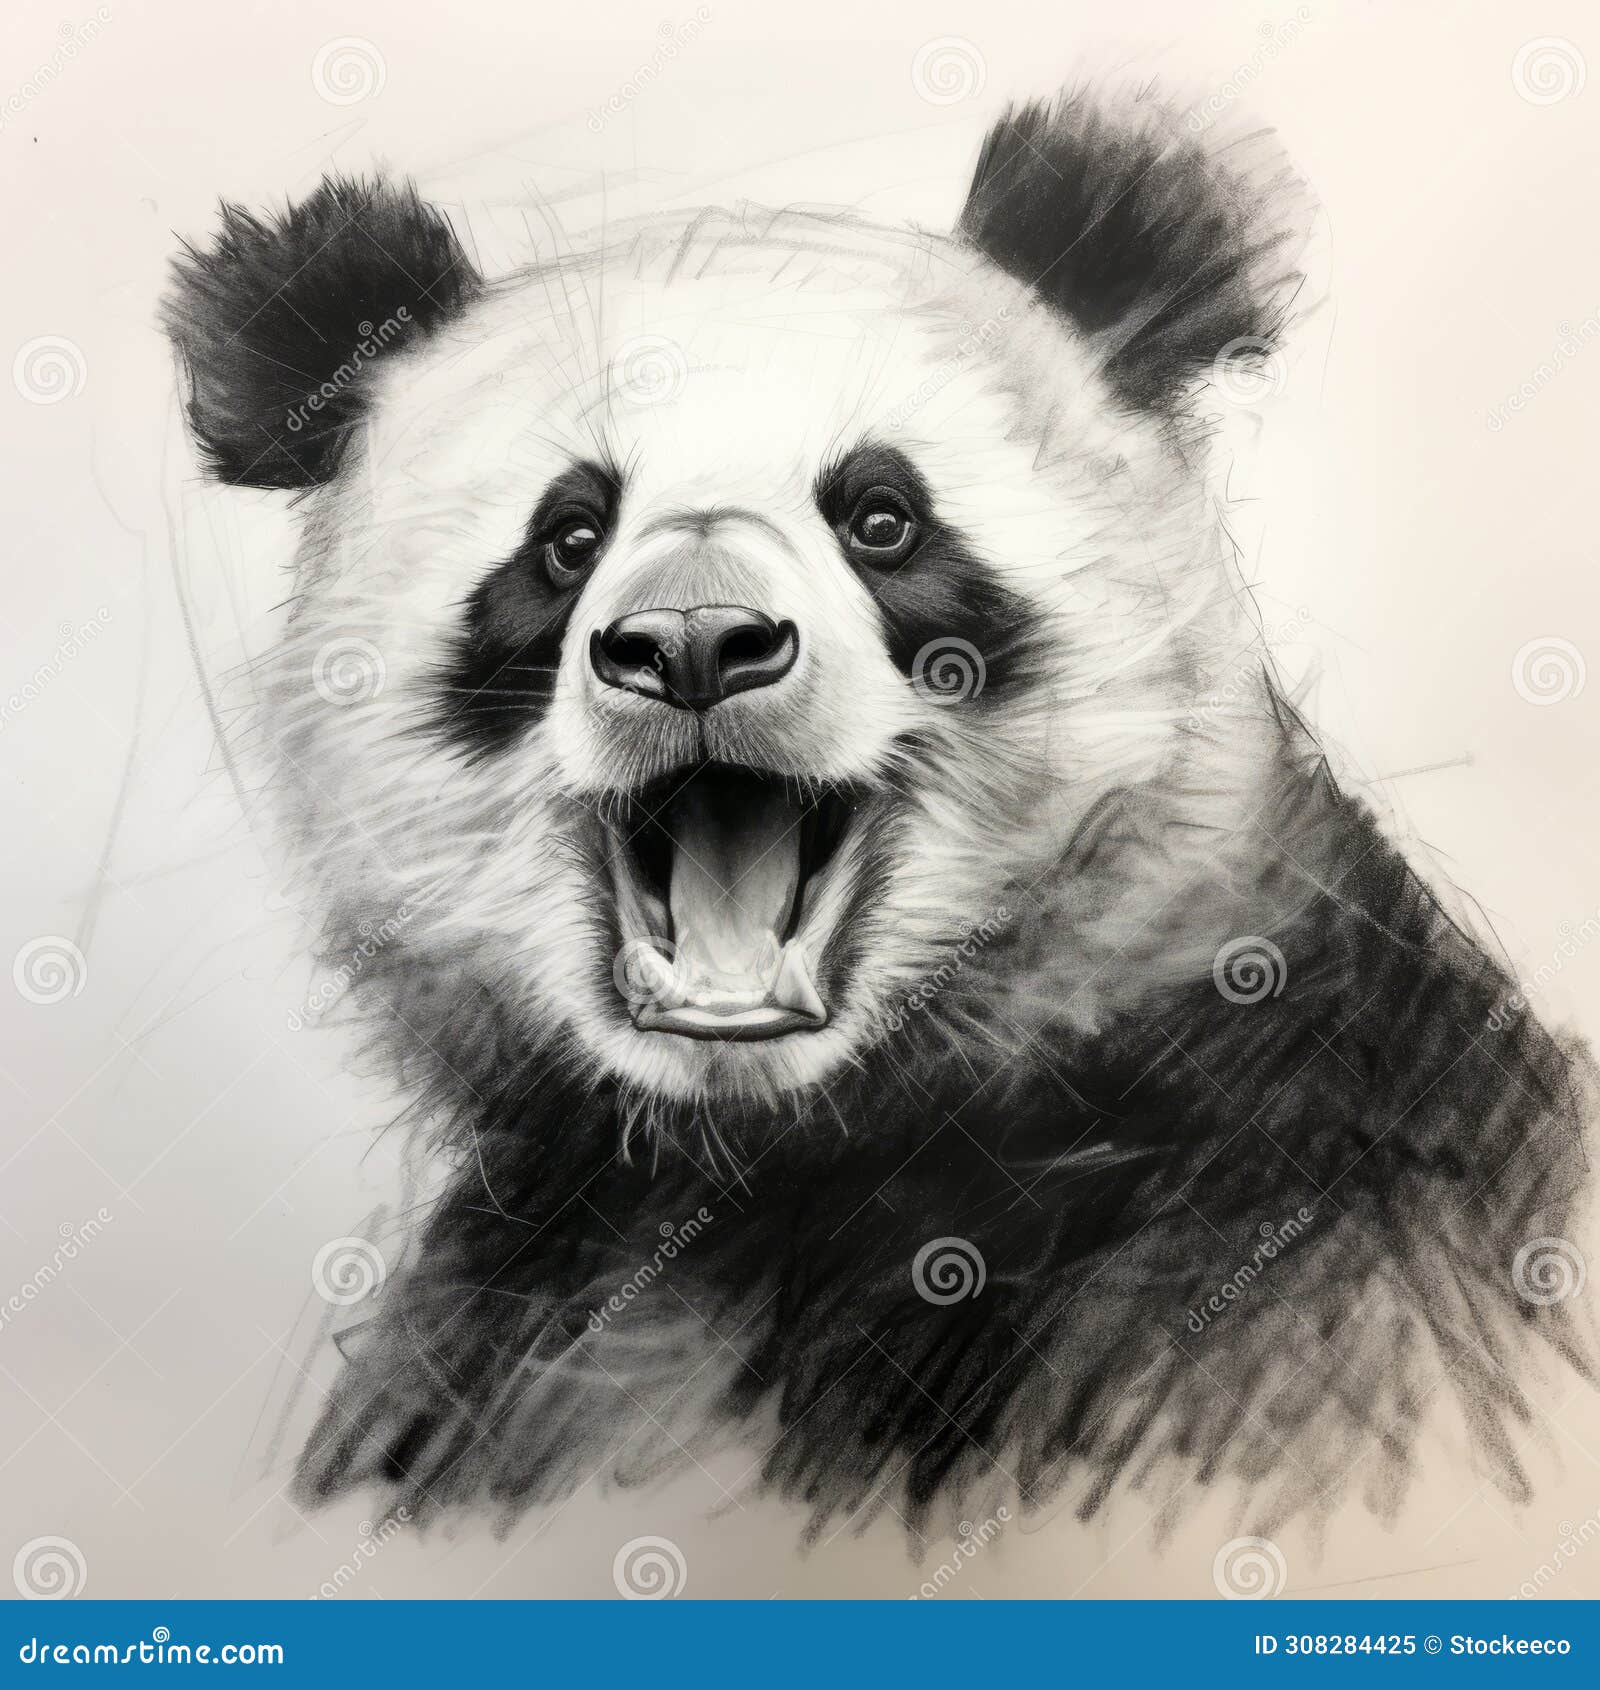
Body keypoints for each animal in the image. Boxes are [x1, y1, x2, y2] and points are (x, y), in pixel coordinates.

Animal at [163, 88, 1591, 1539]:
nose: (695, 643)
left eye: (882, 516)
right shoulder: (542, 1265)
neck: (780, 1143)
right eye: (566, 538)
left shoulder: (1273, 1193)